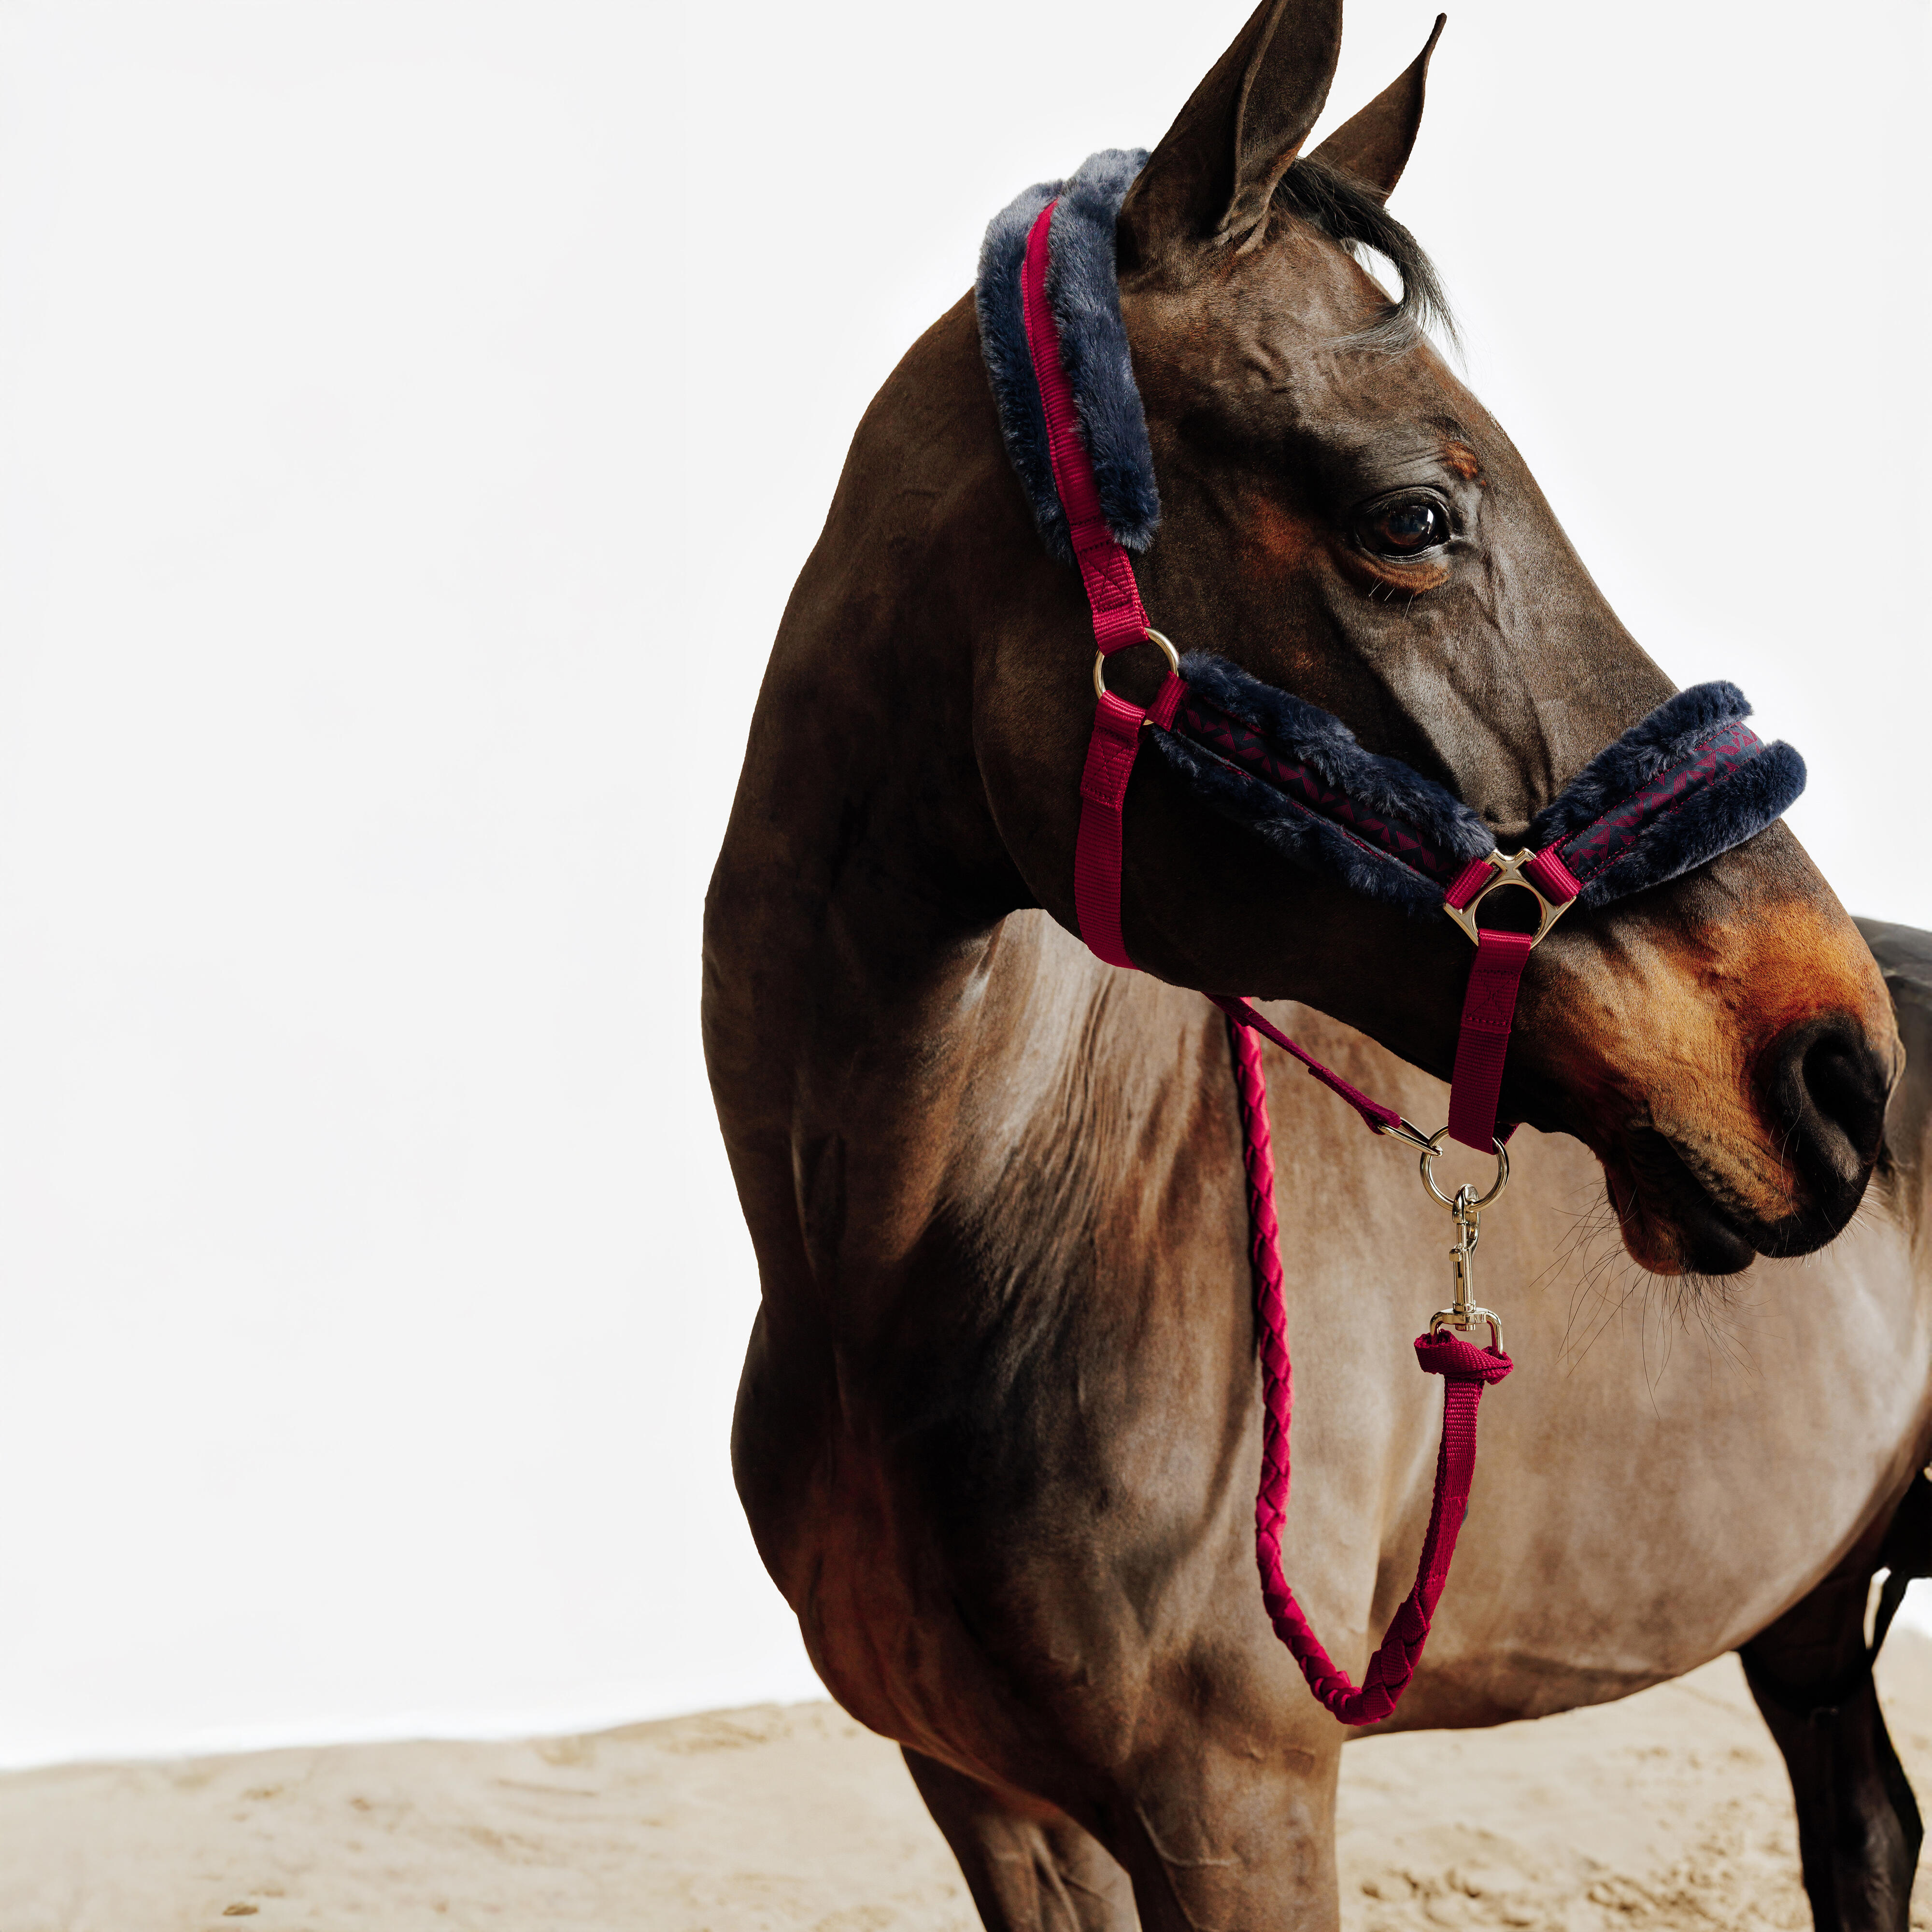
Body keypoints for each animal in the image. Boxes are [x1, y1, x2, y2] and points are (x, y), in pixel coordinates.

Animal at [701, 2, 1930, 1924]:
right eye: (1410, 513)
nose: (1829, 1063)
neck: (920, 1257)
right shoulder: (995, 1802)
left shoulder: (1238, 1804)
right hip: (1805, 1606)